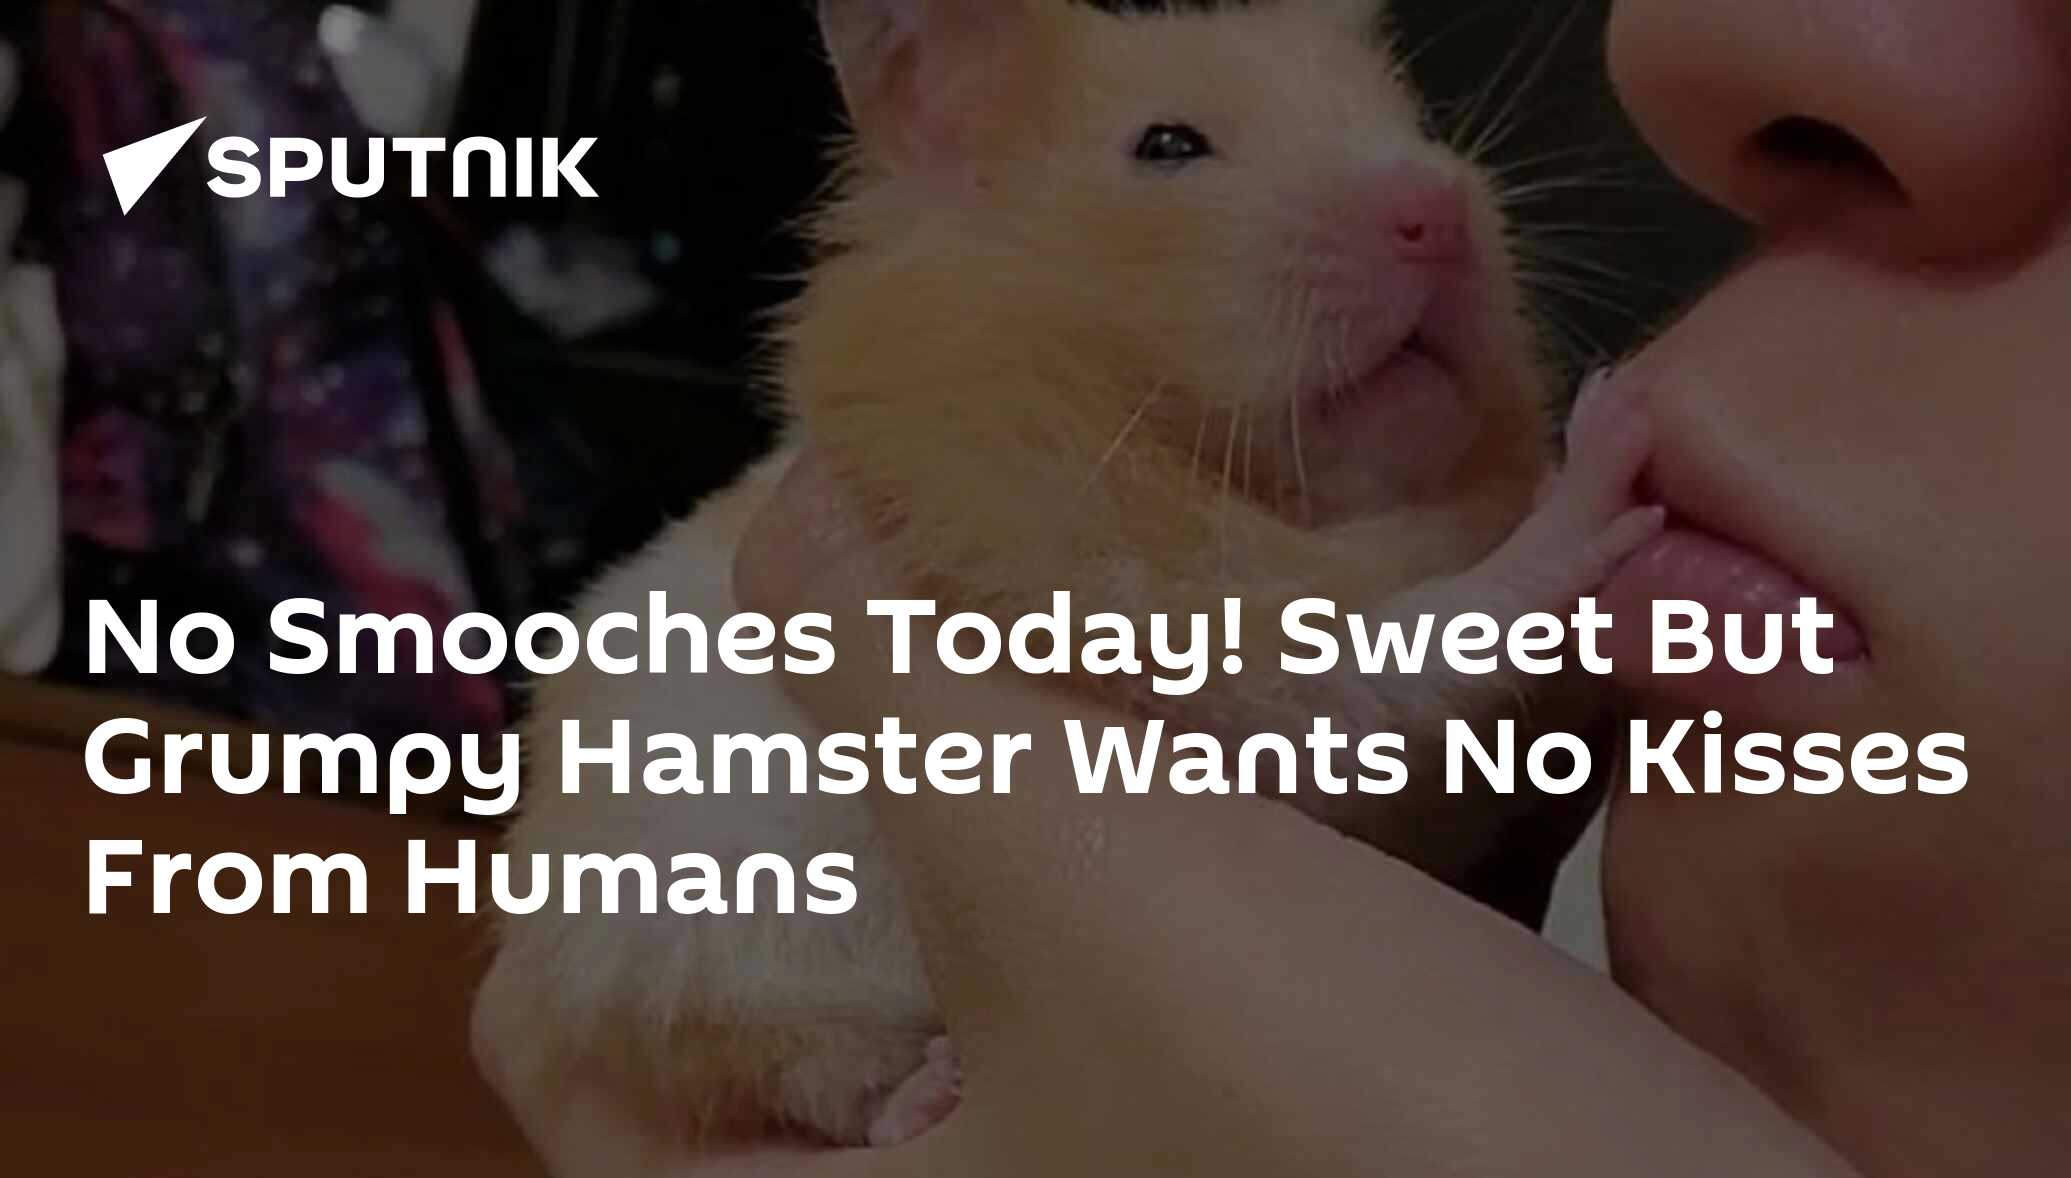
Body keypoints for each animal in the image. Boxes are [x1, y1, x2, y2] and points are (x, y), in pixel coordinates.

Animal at [473, 0, 1652, 1170]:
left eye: (1417, 117)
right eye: (1167, 146)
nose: (1435, 210)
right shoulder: (1206, 642)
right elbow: (1437, 634)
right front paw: (1610, 437)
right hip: (680, 969)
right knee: (792, 1068)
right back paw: (925, 1093)